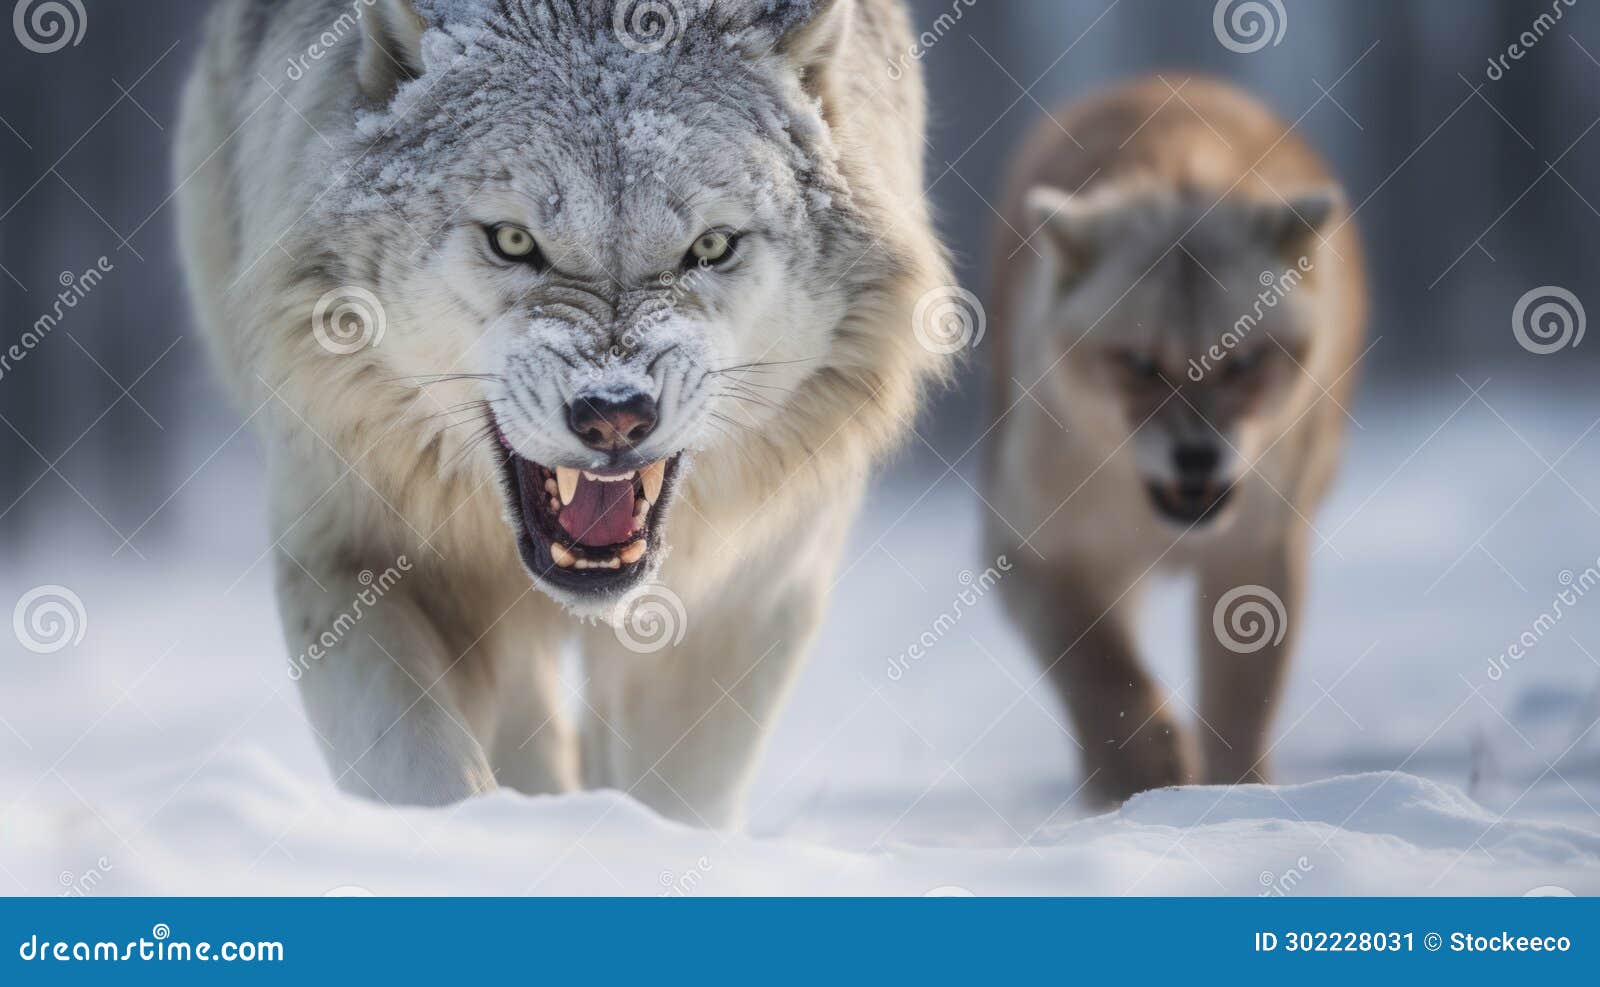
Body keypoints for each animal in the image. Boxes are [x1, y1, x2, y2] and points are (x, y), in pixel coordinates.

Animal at [175, 0, 949, 825]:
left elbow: (679, 795)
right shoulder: (344, 552)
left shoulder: (747, 595)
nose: (615, 414)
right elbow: (427, 780)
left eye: (710, 246)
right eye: (514, 241)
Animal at [986, 76, 1367, 804]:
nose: (1197, 455)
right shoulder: (1030, 546)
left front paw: (1231, 797)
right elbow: (1100, 667)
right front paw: (1148, 775)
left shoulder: (1258, 548)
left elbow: (1241, 695)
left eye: (1243, 361)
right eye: (1138, 363)